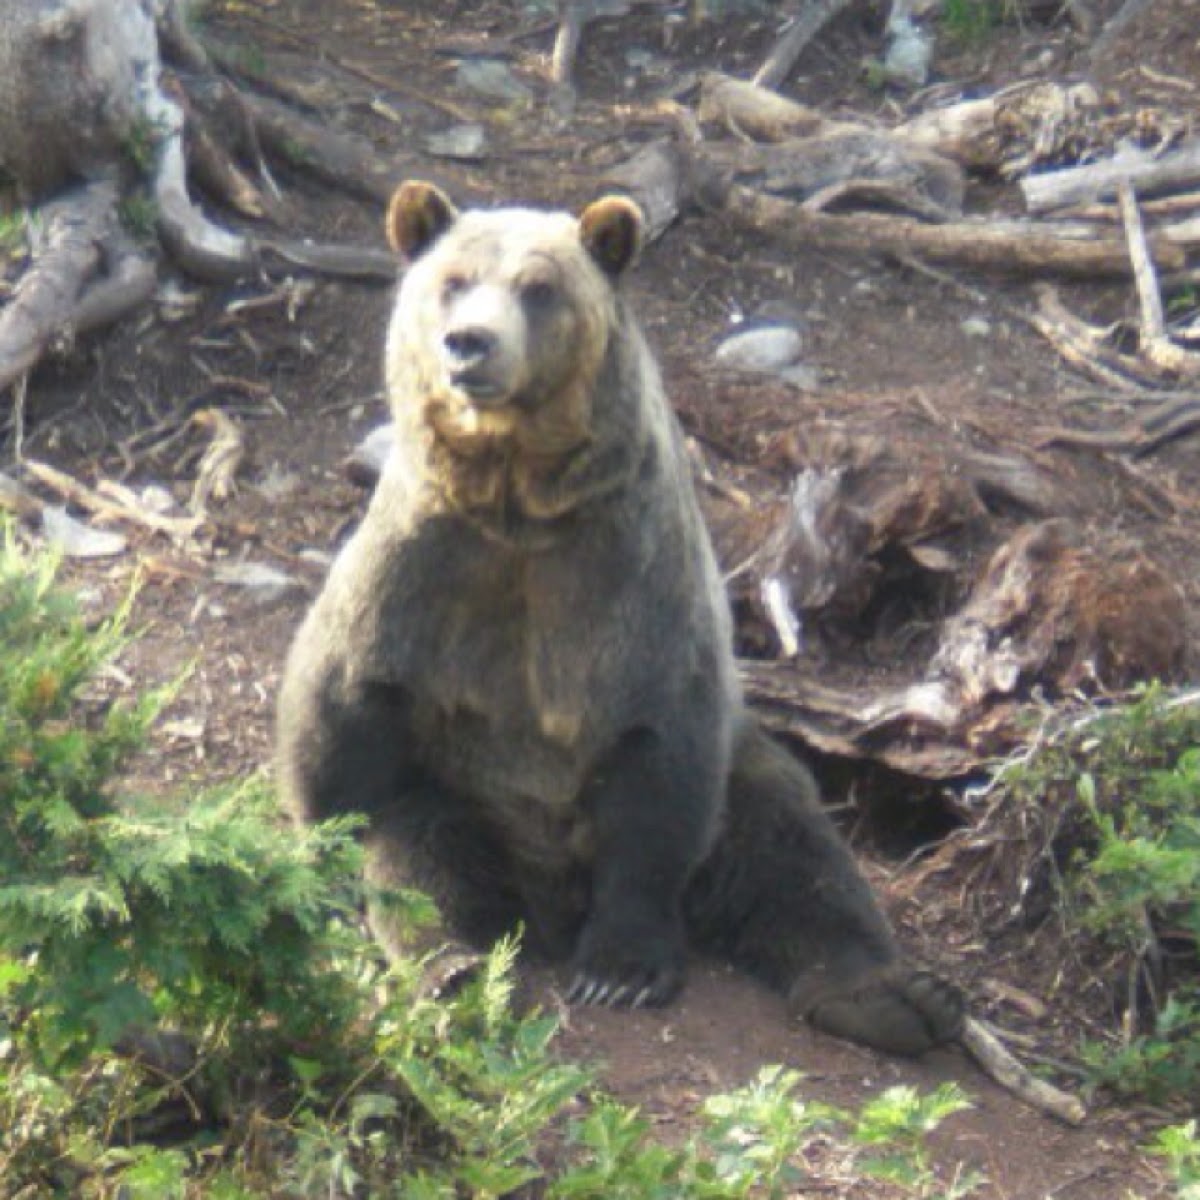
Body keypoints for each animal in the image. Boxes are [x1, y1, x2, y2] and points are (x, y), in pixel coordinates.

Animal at [275, 180, 963, 1055]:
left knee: (791, 844)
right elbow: (341, 719)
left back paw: (891, 995)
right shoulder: (425, 570)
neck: (517, 505)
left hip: (734, 774)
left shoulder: (628, 582)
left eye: (538, 287)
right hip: (461, 794)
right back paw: (453, 969)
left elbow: (656, 773)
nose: (470, 345)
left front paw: (624, 968)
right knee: (421, 858)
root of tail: (547, 897)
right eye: (453, 281)